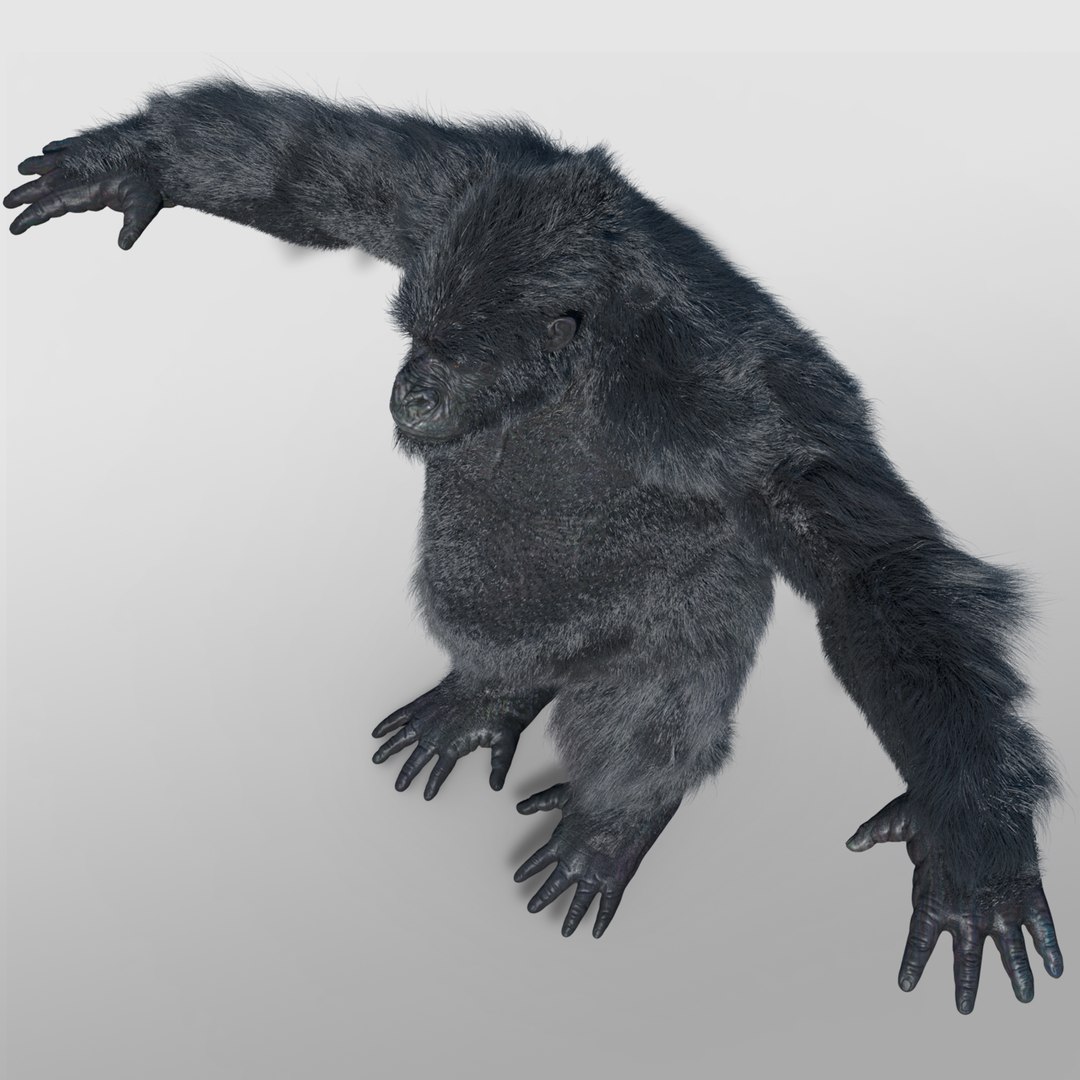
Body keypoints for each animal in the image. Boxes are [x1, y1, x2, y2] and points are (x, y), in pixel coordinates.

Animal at [6, 78, 1065, 1014]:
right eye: (416, 328)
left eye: (455, 347)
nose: (412, 383)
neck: (572, 371)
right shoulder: (448, 195)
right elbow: (311, 166)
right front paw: (127, 162)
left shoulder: (724, 408)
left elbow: (869, 577)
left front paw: (974, 846)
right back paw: (488, 694)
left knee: (655, 689)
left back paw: (614, 819)